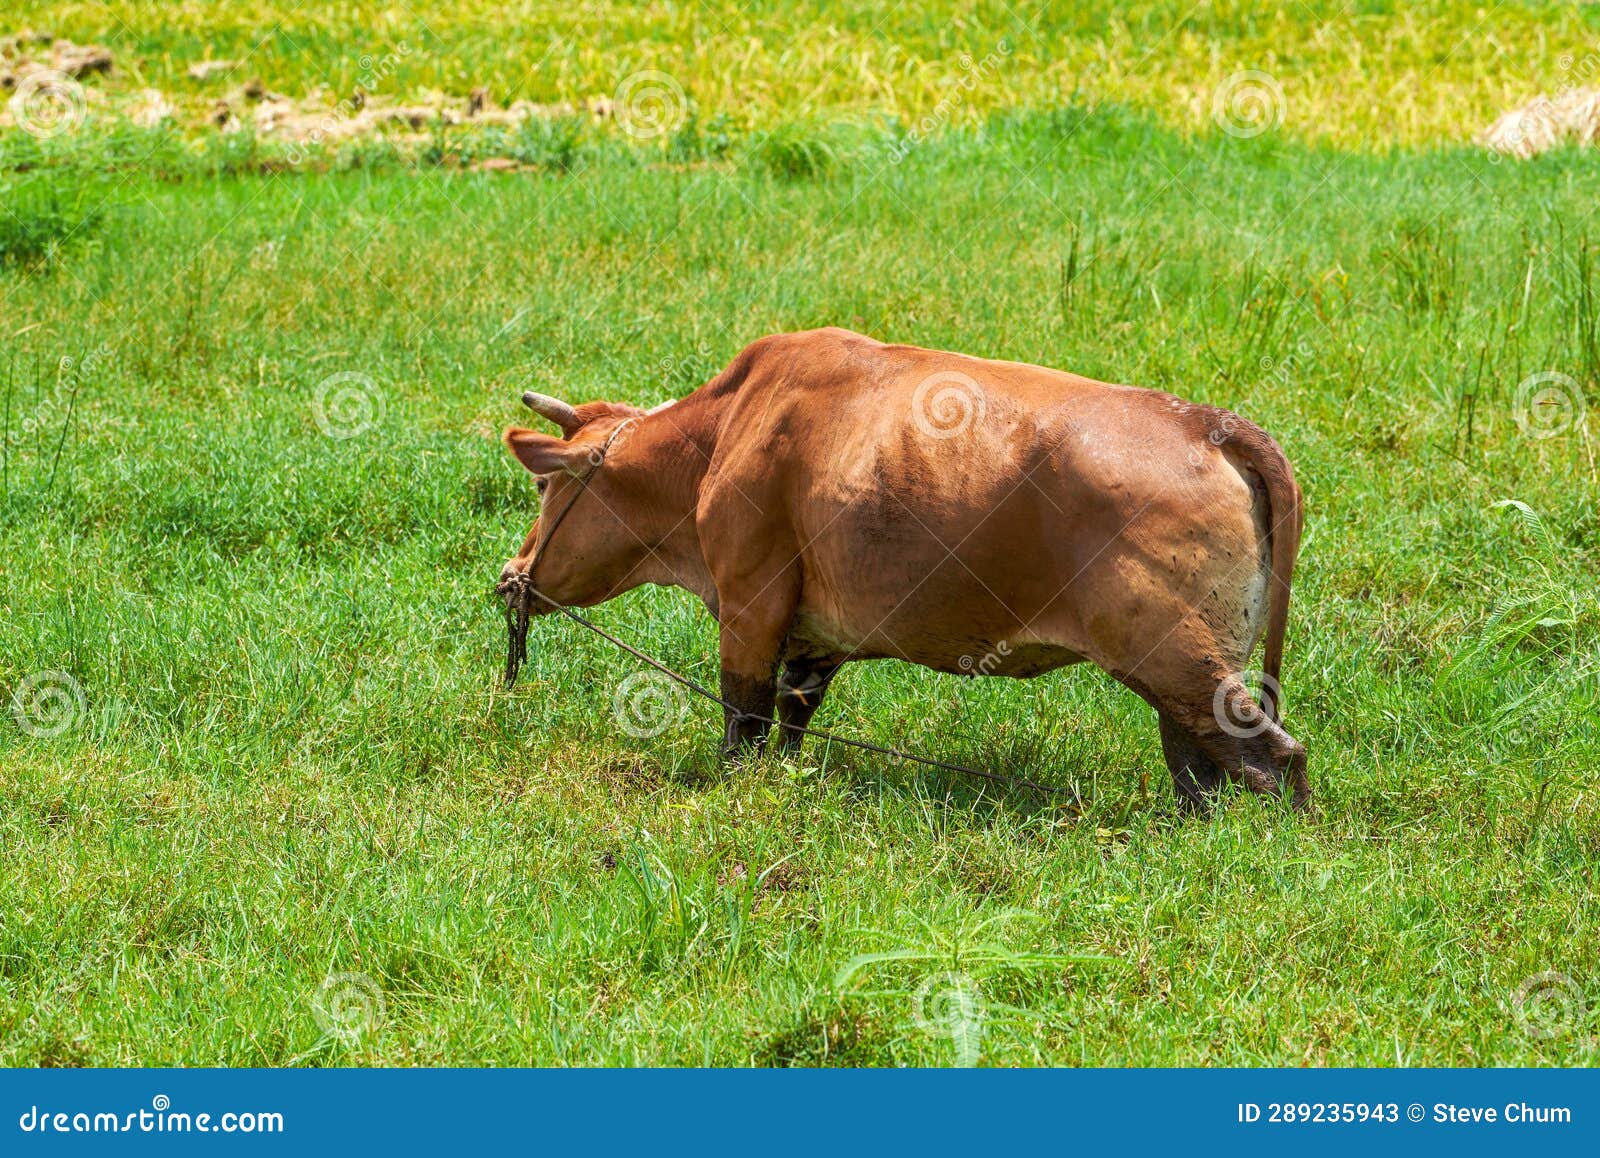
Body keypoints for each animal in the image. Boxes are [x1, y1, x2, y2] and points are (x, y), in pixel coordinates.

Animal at [497, 328, 1308, 812]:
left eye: (542, 486)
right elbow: (793, 718)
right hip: (1190, 676)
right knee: (1203, 767)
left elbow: (742, 721)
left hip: (1177, 660)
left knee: (1277, 759)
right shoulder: (813, 637)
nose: (511, 573)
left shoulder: (750, 607)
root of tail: (1208, 424)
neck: (724, 431)